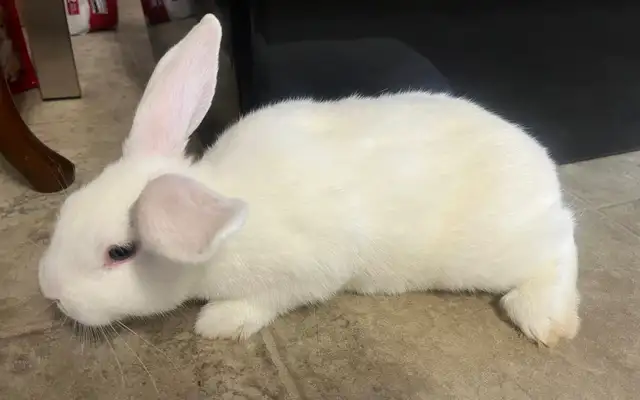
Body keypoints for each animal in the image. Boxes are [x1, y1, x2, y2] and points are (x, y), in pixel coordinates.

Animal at [38, 14, 580, 347]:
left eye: (120, 253)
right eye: (68, 209)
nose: (50, 292)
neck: (223, 230)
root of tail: (541, 167)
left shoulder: (310, 270)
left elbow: (270, 298)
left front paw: (219, 322)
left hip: (496, 250)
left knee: (561, 245)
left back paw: (546, 319)